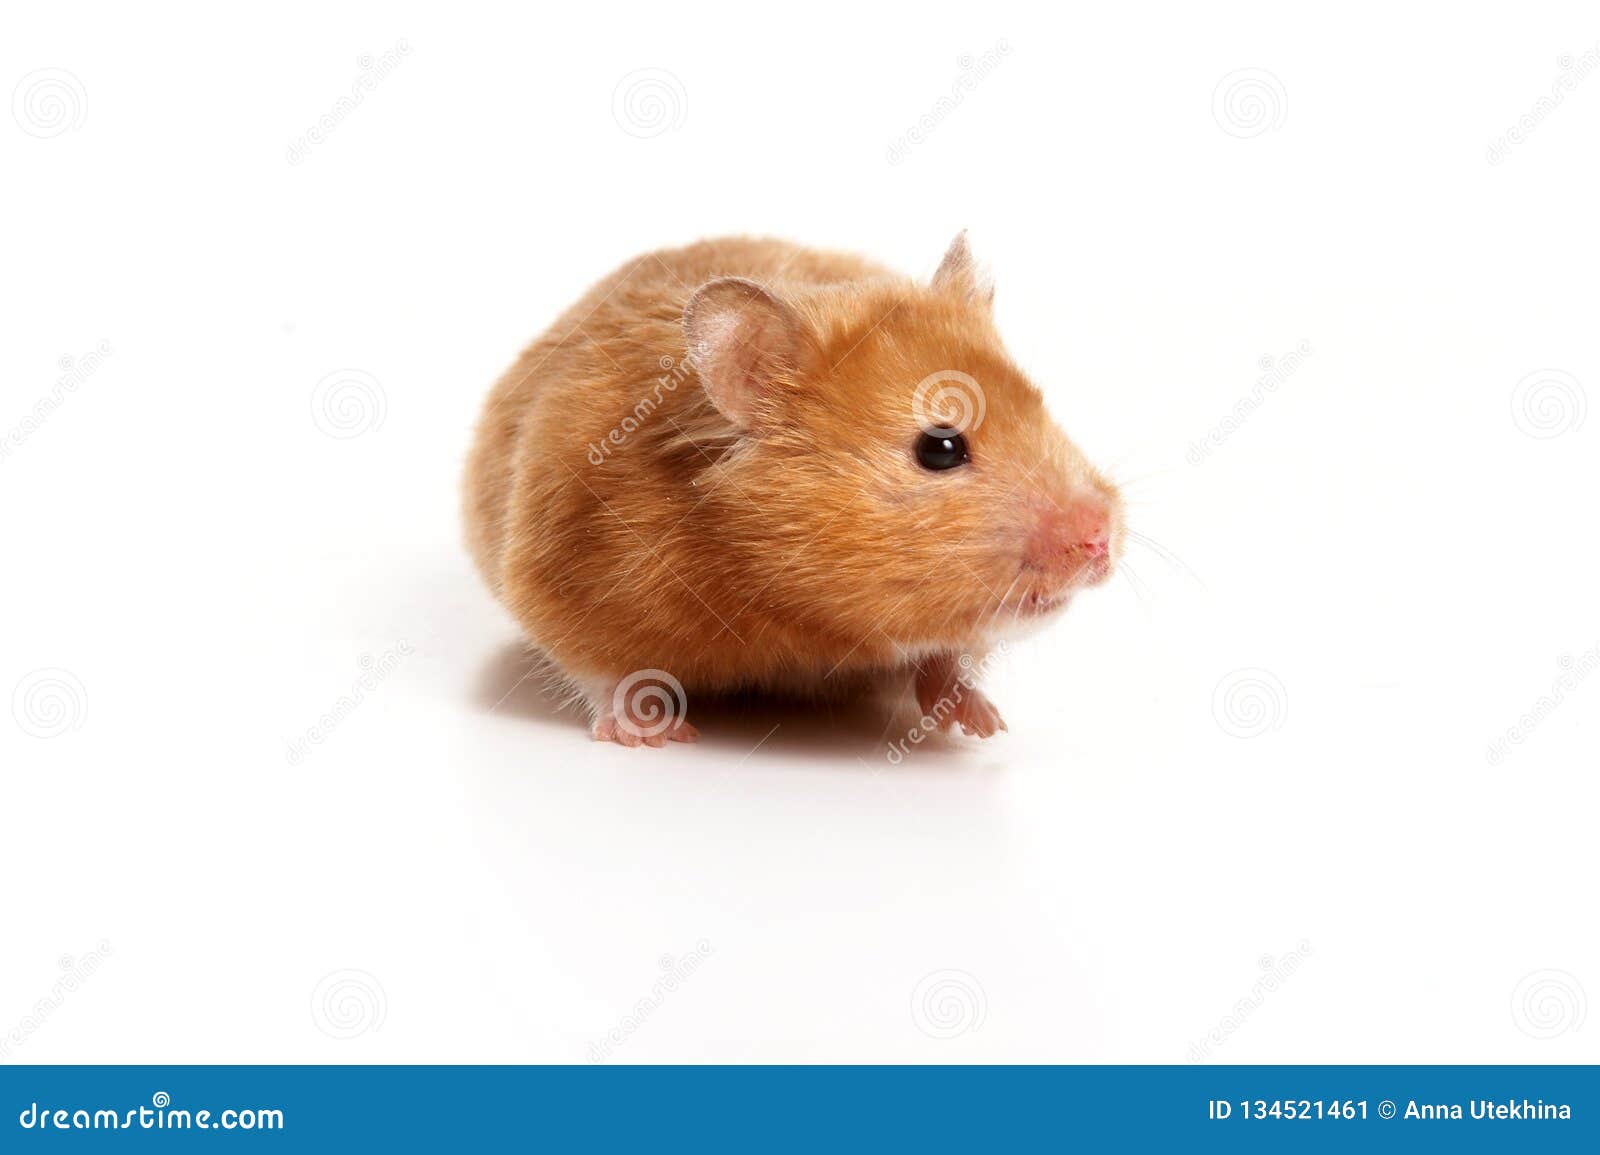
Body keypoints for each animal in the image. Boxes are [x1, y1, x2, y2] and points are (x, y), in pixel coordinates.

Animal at [464, 234, 1123, 746]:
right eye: (940, 448)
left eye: (1043, 408)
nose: (1100, 541)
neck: (792, 610)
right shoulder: (558, 575)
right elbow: (603, 672)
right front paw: (651, 735)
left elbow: (944, 659)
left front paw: (983, 725)